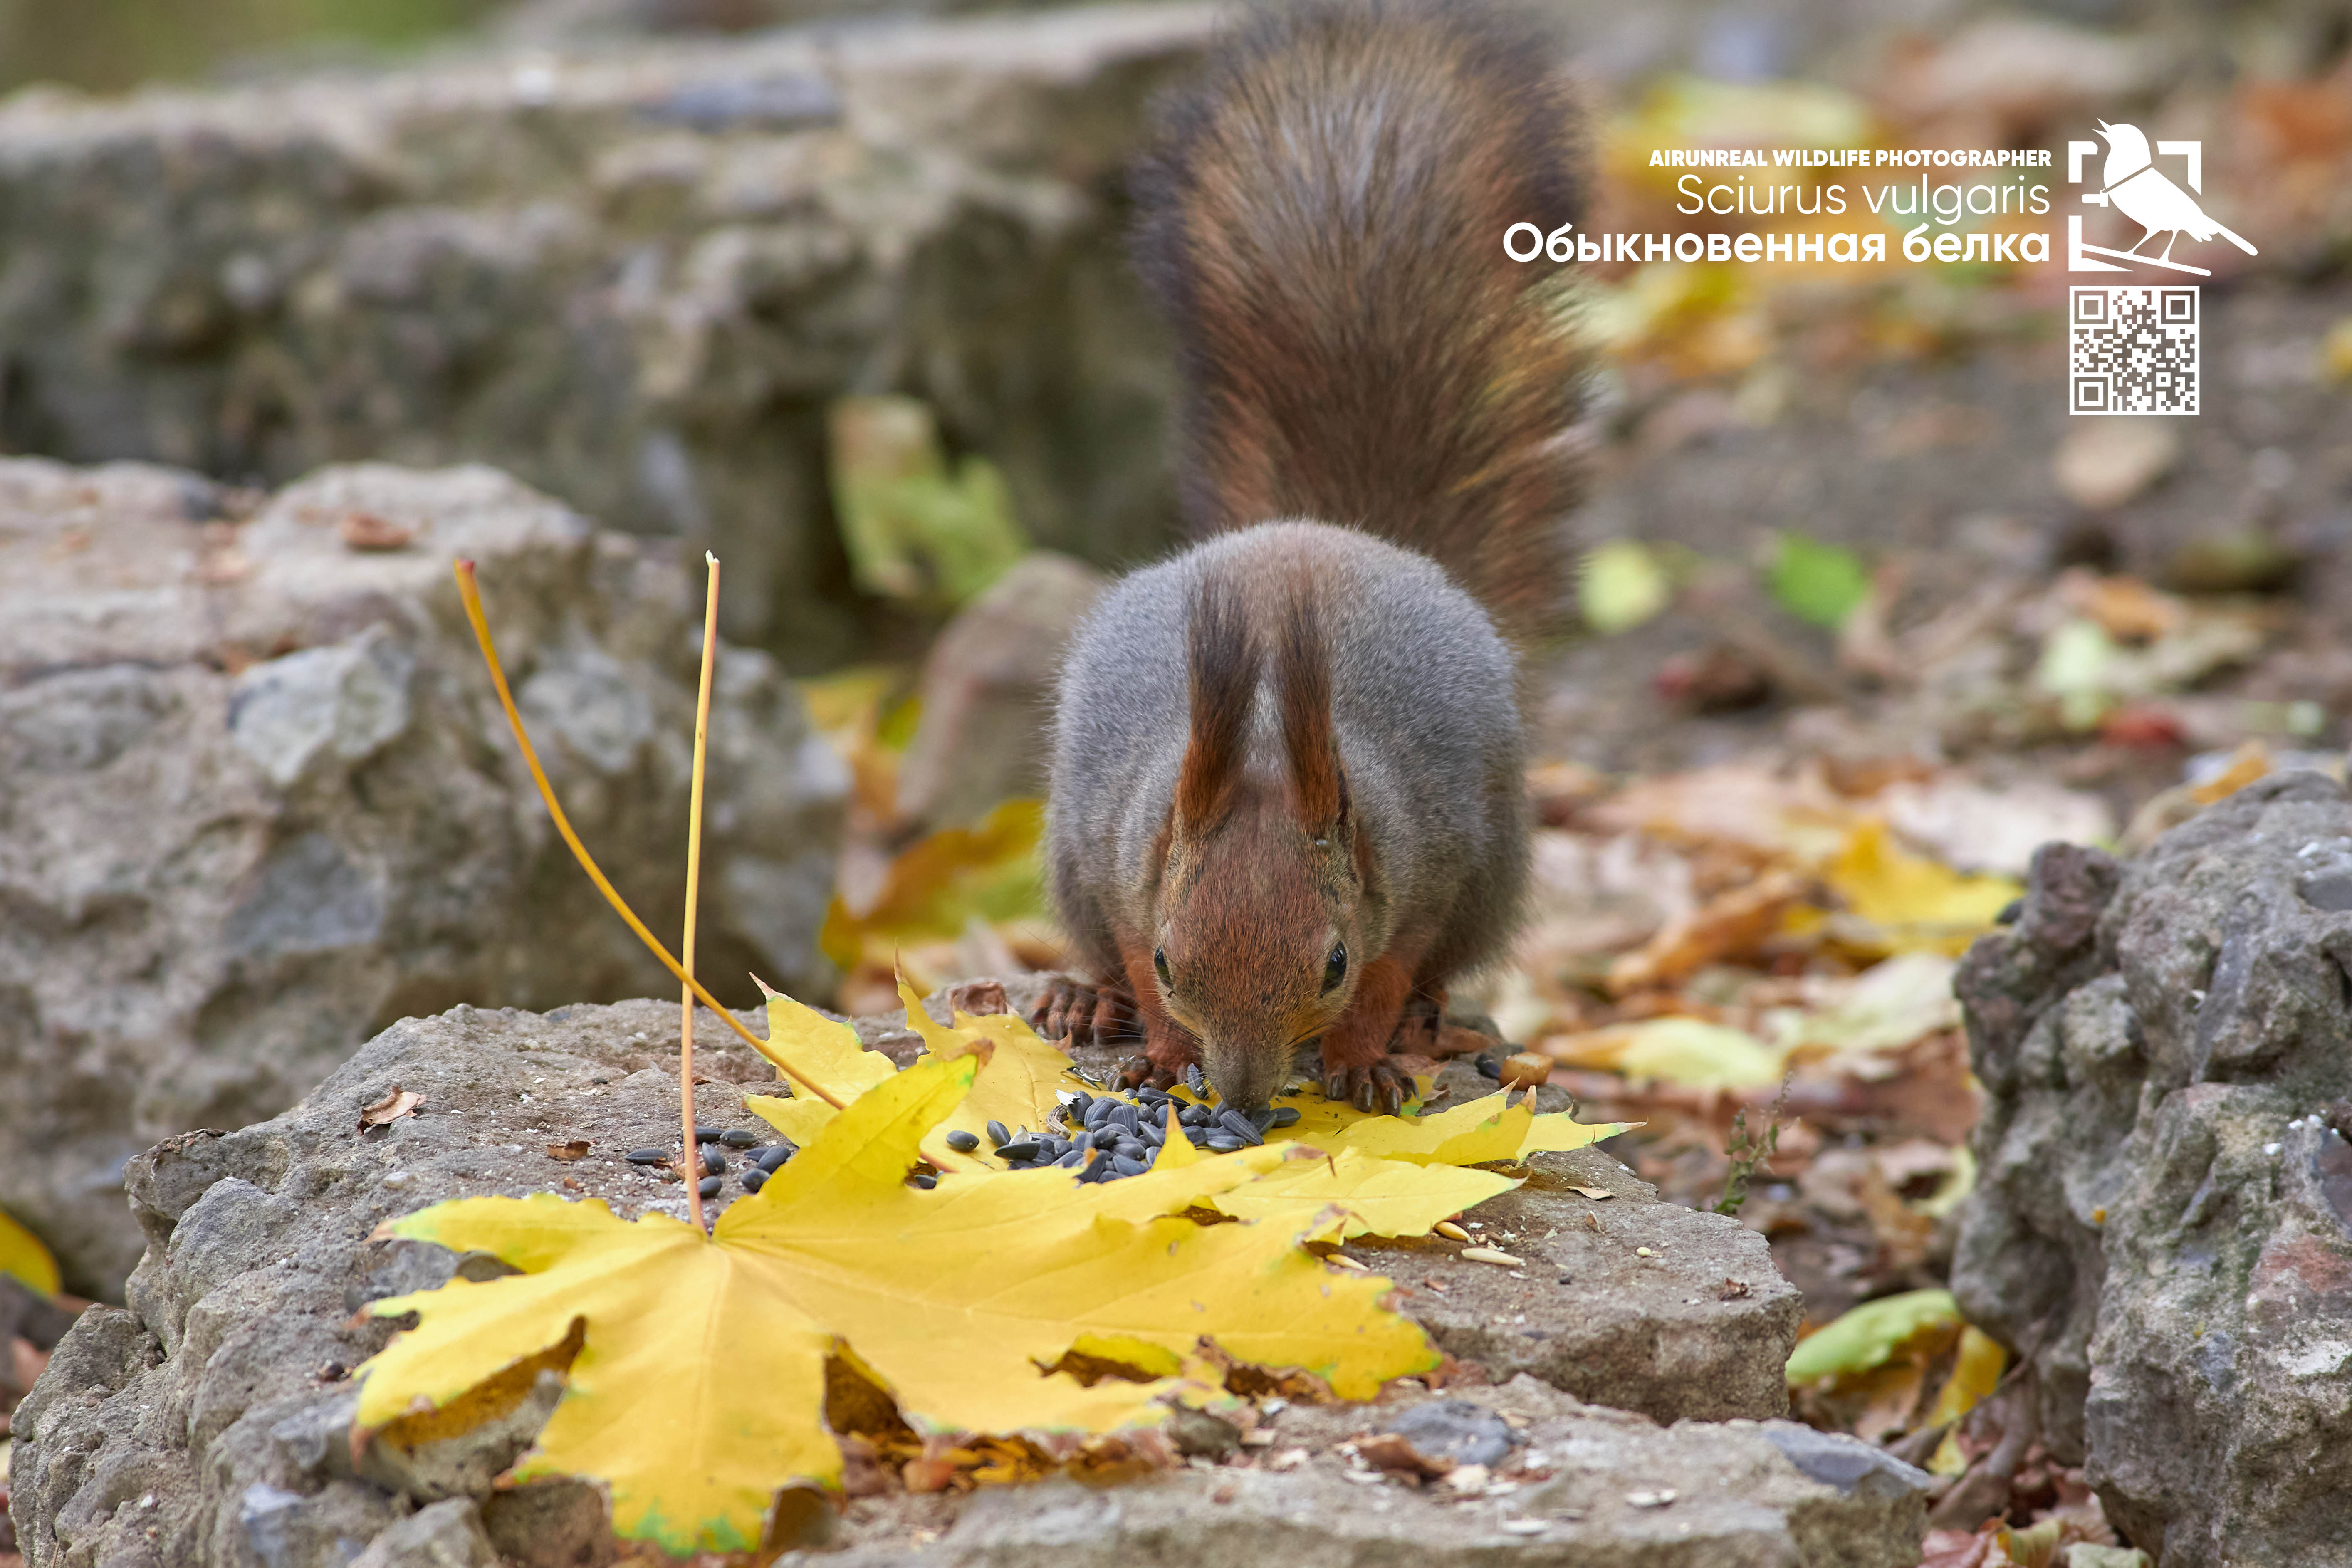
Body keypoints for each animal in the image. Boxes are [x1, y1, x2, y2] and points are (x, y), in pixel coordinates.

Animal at [1039, 6, 1590, 1123]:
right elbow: (1131, 951)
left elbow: (1391, 969)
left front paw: (1363, 1054)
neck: (1259, 740)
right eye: (1172, 963)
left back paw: (1429, 1022)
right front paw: (1159, 1050)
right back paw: (1079, 998)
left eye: (1330, 962)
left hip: (1493, 871)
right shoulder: (1123, 870)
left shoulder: (1422, 869)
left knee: (1439, 972)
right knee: (1090, 952)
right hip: (1070, 868)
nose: (1245, 1099)